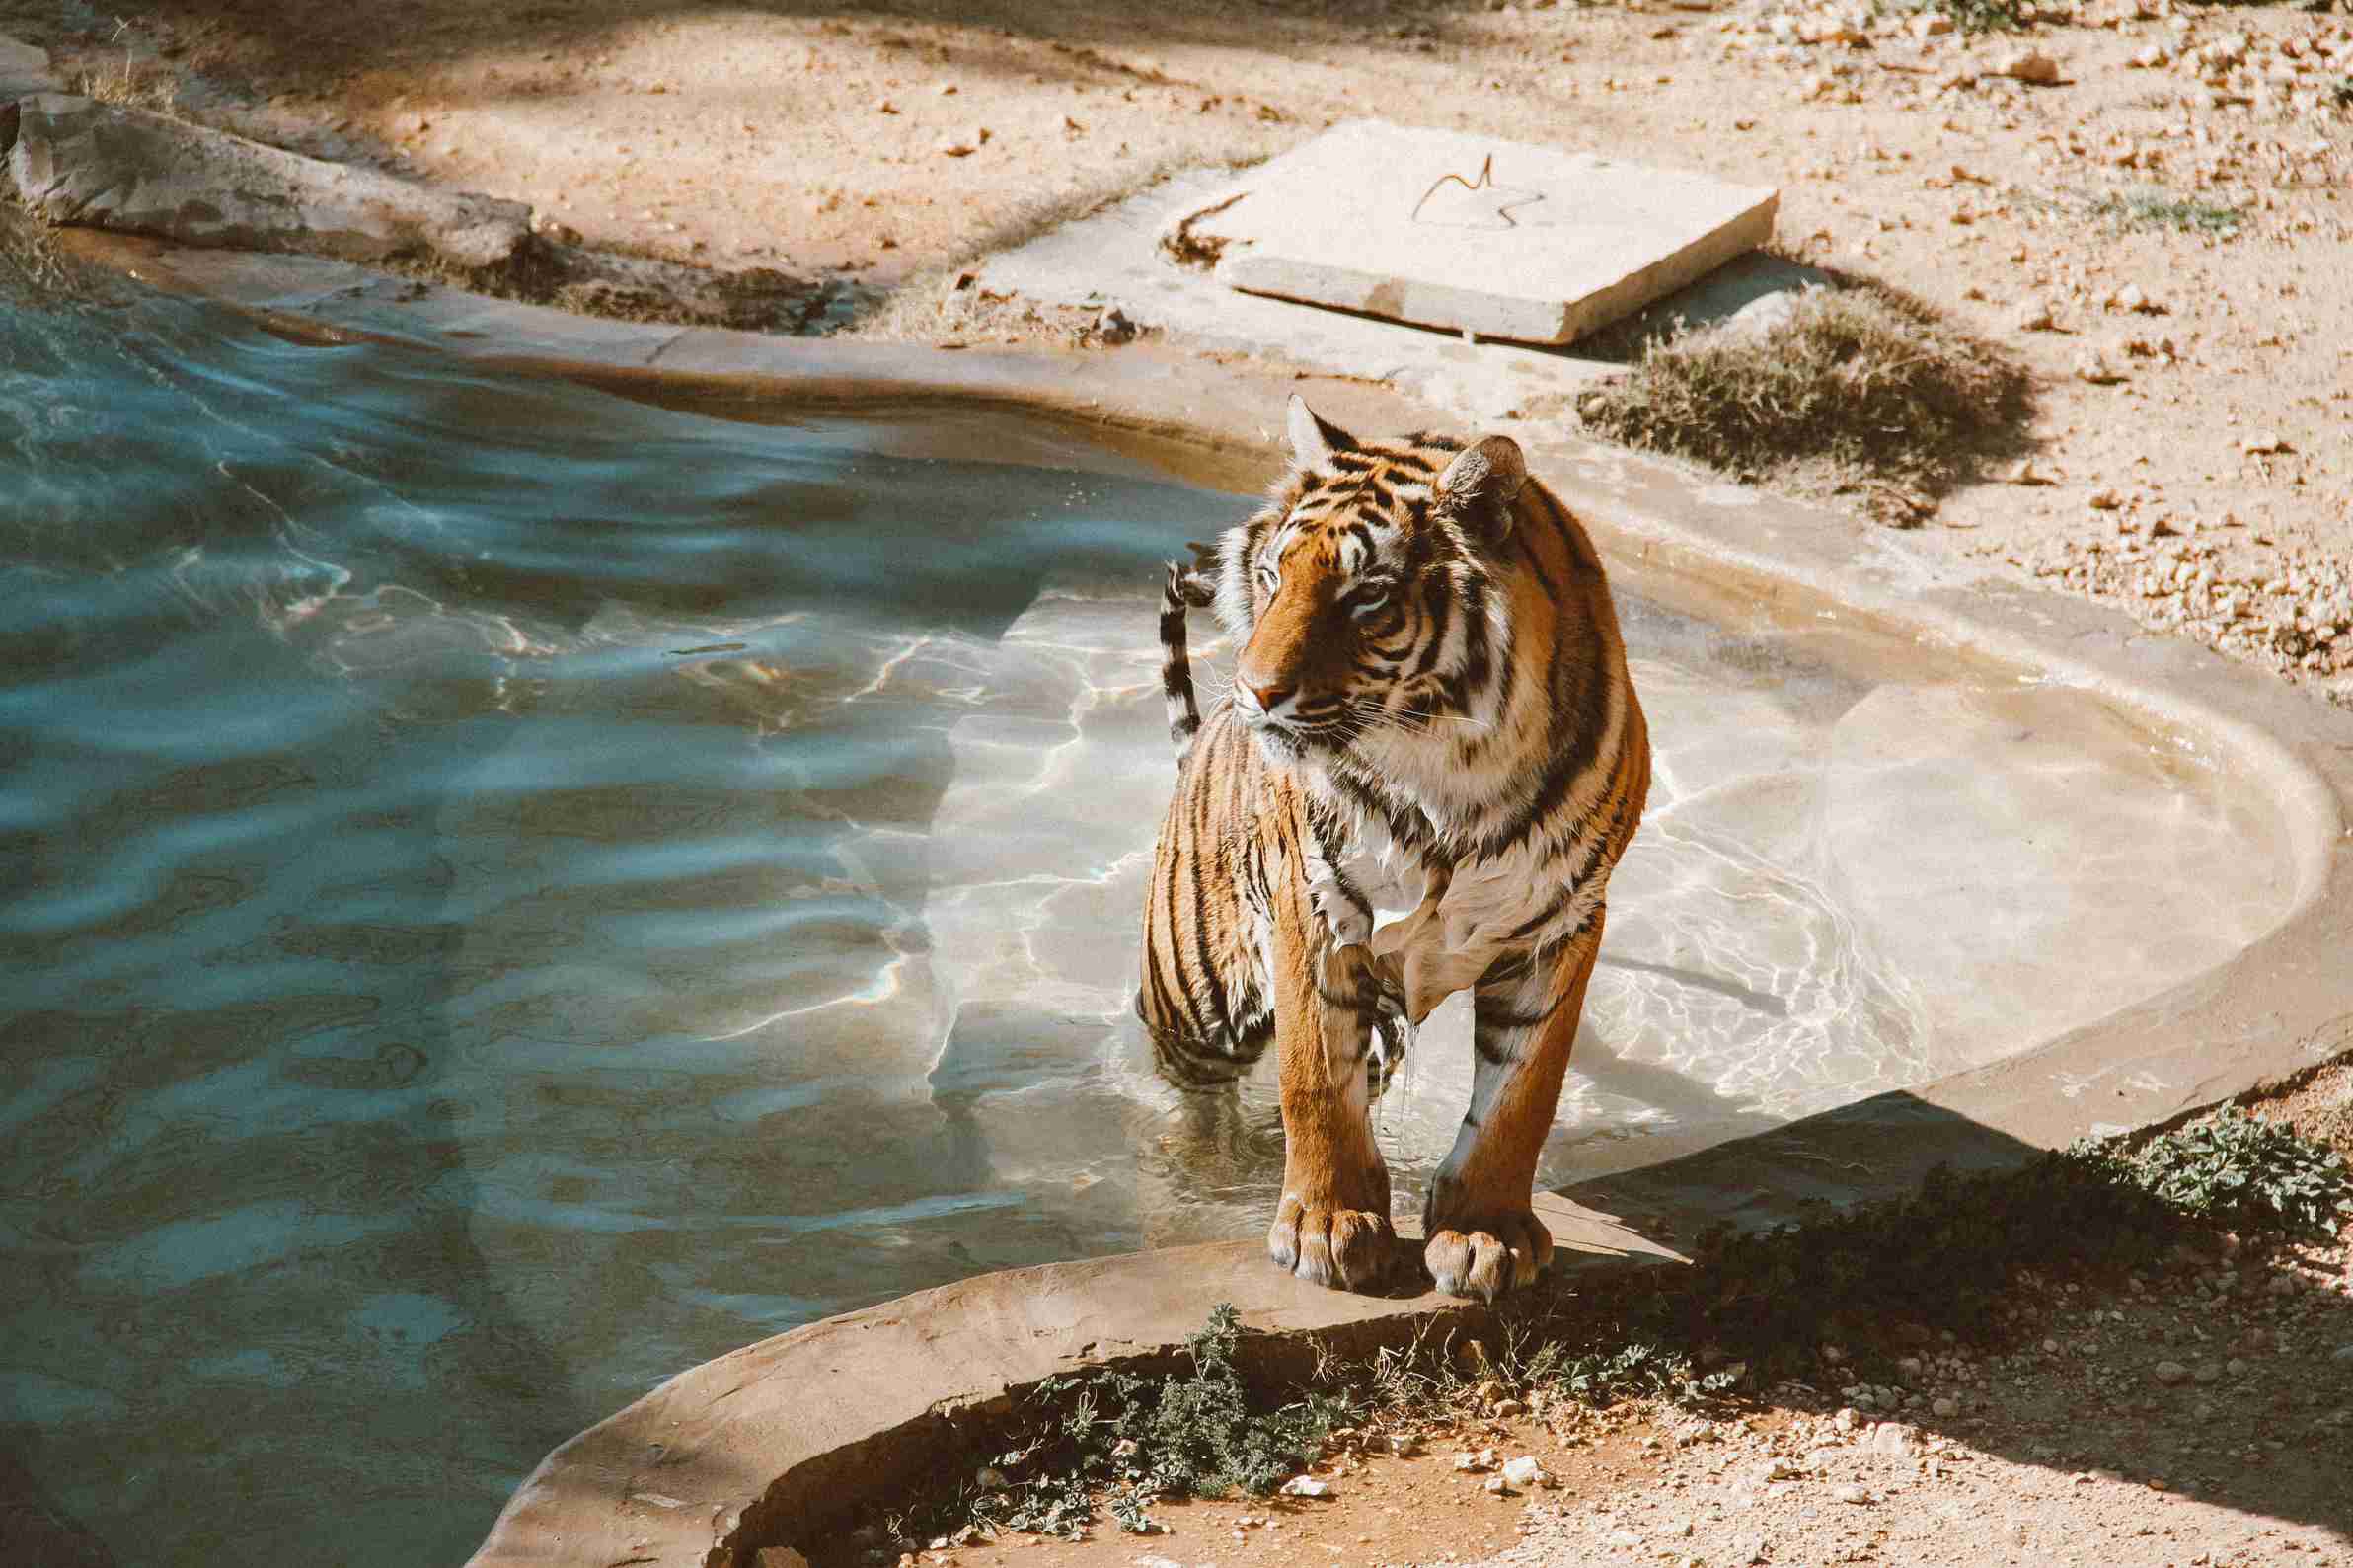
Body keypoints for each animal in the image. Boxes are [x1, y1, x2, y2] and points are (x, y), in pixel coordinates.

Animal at [1136, 395, 1651, 1302]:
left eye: (1365, 596)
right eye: (1273, 577)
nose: (1254, 691)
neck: (1450, 774)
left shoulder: (1562, 927)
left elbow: (1522, 1096)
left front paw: (1484, 1230)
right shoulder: (1314, 909)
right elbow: (1314, 1080)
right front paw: (1326, 1225)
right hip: (1194, 1000)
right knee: (1193, 1097)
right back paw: (1201, 1171)